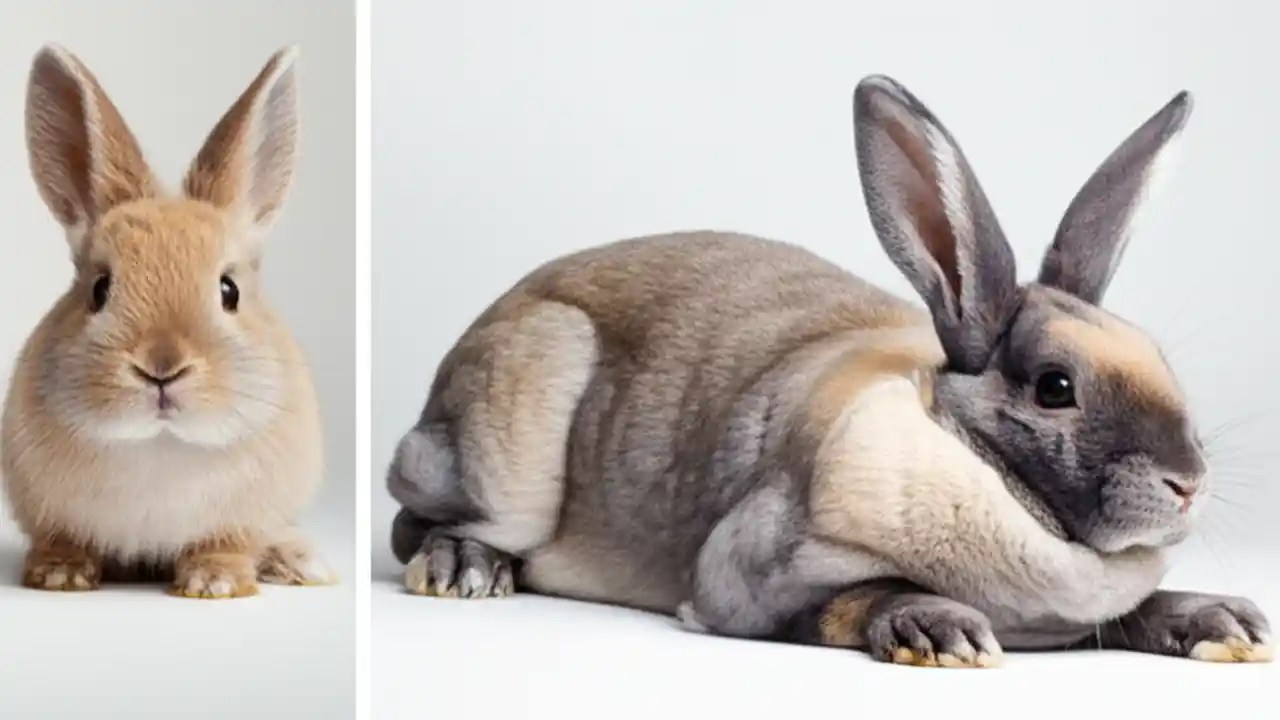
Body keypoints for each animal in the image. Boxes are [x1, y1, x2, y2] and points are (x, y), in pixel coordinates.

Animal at [1, 44, 332, 599]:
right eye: (100, 289)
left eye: (229, 290)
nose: (161, 366)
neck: (160, 444)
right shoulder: (47, 510)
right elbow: (62, 540)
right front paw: (59, 575)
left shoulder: (240, 518)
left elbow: (227, 544)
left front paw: (214, 584)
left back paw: (302, 563)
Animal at [386, 75, 1271, 666]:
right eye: (1056, 386)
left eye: (1159, 357)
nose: (1186, 482)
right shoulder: (748, 578)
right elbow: (857, 598)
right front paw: (939, 630)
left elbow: (1141, 606)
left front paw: (1225, 624)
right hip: (510, 446)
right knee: (426, 521)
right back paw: (464, 569)